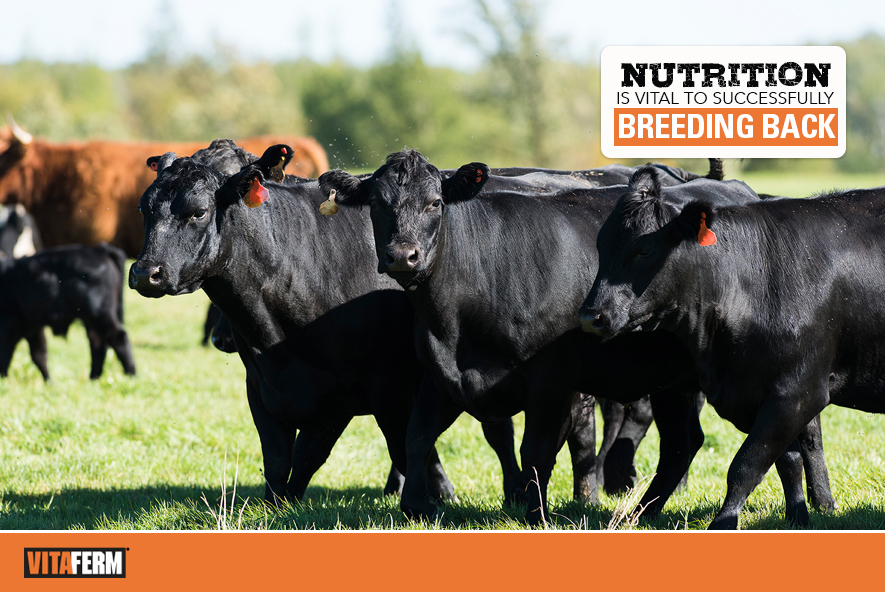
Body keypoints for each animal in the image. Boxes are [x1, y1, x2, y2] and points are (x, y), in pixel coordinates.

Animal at [0, 242, 136, 381]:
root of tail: (99, 249)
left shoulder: (9, 324)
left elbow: (6, 353)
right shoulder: (32, 327)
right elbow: (38, 354)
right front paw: (49, 382)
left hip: (100, 314)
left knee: (118, 338)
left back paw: (131, 374)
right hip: (91, 320)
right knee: (98, 344)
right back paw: (93, 377)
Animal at [129, 145, 568, 506]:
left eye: (199, 211)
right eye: (144, 209)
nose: (146, 272)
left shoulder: (374, 389)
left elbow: (327, 454)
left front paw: (436, 497)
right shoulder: (262, 390)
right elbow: (279, 465)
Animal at [318, 150, 835, 526]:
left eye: (434, 204)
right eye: (378, 204)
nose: (402, 256)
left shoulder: (551, 379)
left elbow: (535, 450)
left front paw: (535, 514)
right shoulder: (440, 374)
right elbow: (416, 436)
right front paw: (417, 508)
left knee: (802, 434)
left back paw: (815, 506)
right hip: (674, 381)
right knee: (682, 444)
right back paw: (643, 513)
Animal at [578, 167, 867, 528]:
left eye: (644, 250)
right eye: (600, 246)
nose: (590, 316)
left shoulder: (798, 391)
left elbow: (747, 464)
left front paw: (725, 522)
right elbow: (786, 459)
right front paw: (797, 518)